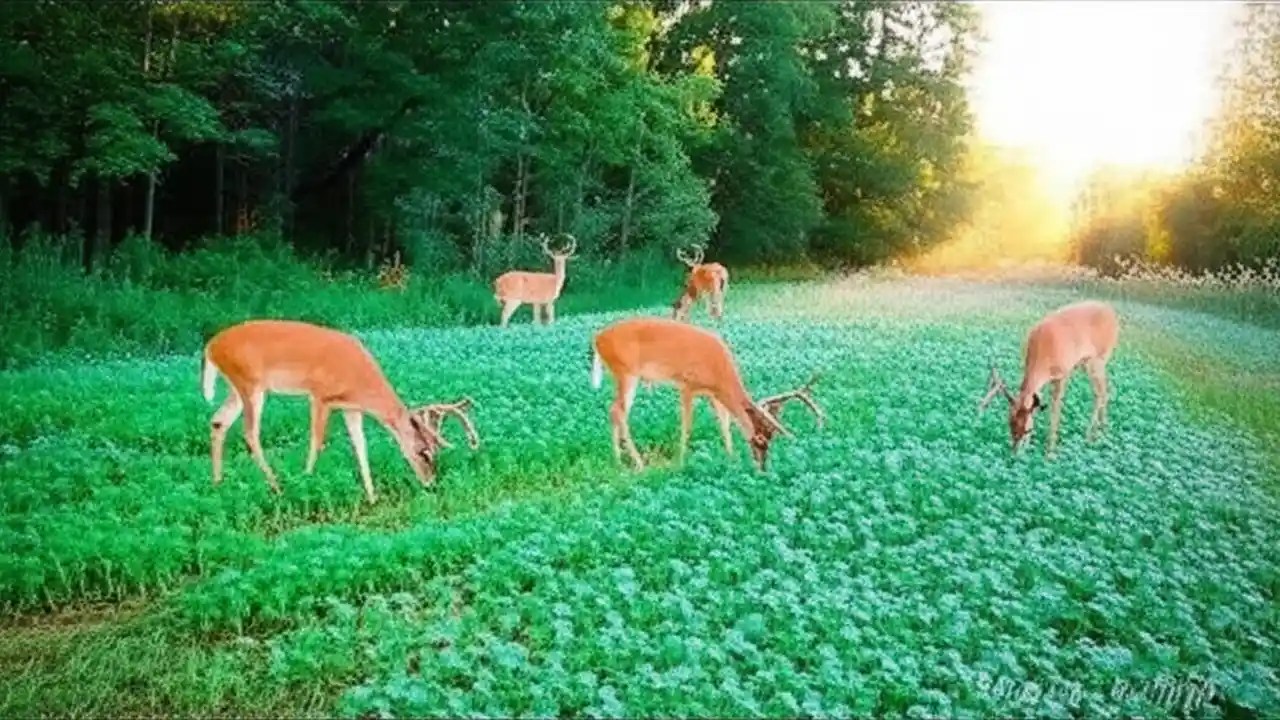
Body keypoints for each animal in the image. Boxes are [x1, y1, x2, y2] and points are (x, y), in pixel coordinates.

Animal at [200, 319, 480, 504]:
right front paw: (307, 480)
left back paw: (217, 483)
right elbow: (317, 441)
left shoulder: (350, 408)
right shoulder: (320, 395)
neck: (360, 377)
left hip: (237, 389)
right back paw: (278, 487)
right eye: (424, 452)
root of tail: (210, 347)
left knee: (218, 421)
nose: (431, 483)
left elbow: (360, 446)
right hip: (250, 383)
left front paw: (372, 497)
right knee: (250, 433)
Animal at [589, 317, 824, 471]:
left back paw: (619, 462)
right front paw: (681, 461)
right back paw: (638, 464)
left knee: (614, 410)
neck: (719, 370)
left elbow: (724, 423)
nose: (762, 467)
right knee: (618, 411)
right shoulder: (687, 384)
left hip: (622, 375)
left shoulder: (713, 394)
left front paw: (731, 458)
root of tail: (597, 339)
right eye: (761, 439)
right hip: (626, 372)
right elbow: (687, 425)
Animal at [979, 300, 1120, 456]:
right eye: (1010, 424)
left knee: (1101, 393)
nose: (1015, 453)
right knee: (1104, 392)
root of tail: (1111, 313)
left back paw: (1090, 436)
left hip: (1097, 360)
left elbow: (1055, 410)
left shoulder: (1063, 374)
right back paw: (1103, 430)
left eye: (1028, 430)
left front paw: (1050, 451)